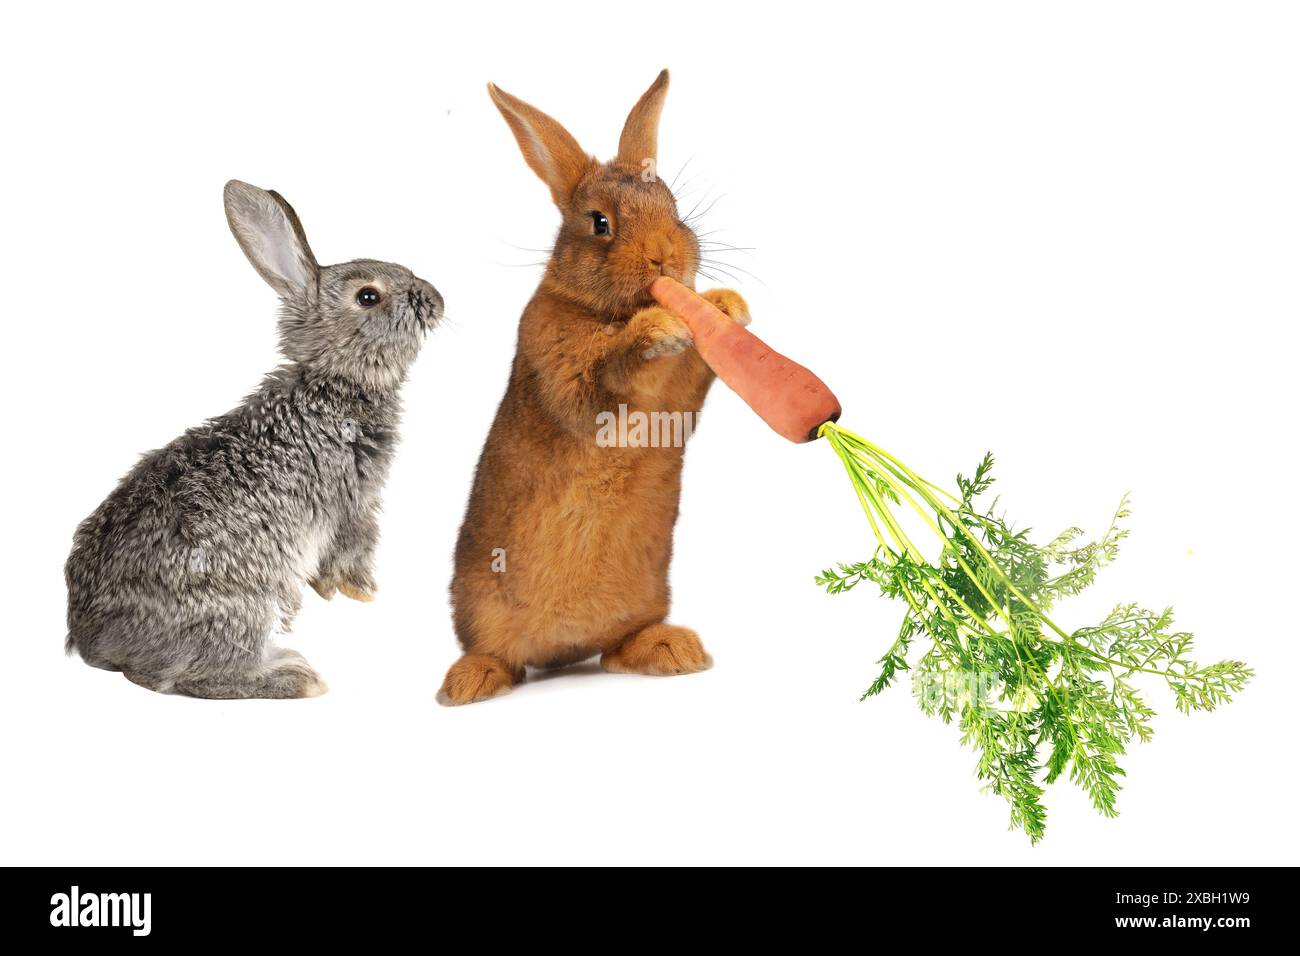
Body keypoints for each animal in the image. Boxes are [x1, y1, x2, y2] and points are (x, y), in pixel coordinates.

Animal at [64, 181, 443, 698]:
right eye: (369, 296)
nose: (436, 298)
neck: (332, 384)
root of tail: (95, 643)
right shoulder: (351, 499)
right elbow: (353, 549)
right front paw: (362, 592)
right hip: (244, 600)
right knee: (188, 677)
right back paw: (294, 677)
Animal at [440, 70, 751, 705]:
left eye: (673, 207)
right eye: (599, 222)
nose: (664, 257)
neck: (607, 311)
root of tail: (561, 653)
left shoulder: (680, 395)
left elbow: (691, 373)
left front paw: (724, 305)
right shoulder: (565, 374)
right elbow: (606, 379)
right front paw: (658, 329)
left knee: (617, 648)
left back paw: (672, 649)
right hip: (478, 609)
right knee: (497, 655)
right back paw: (467, 684)